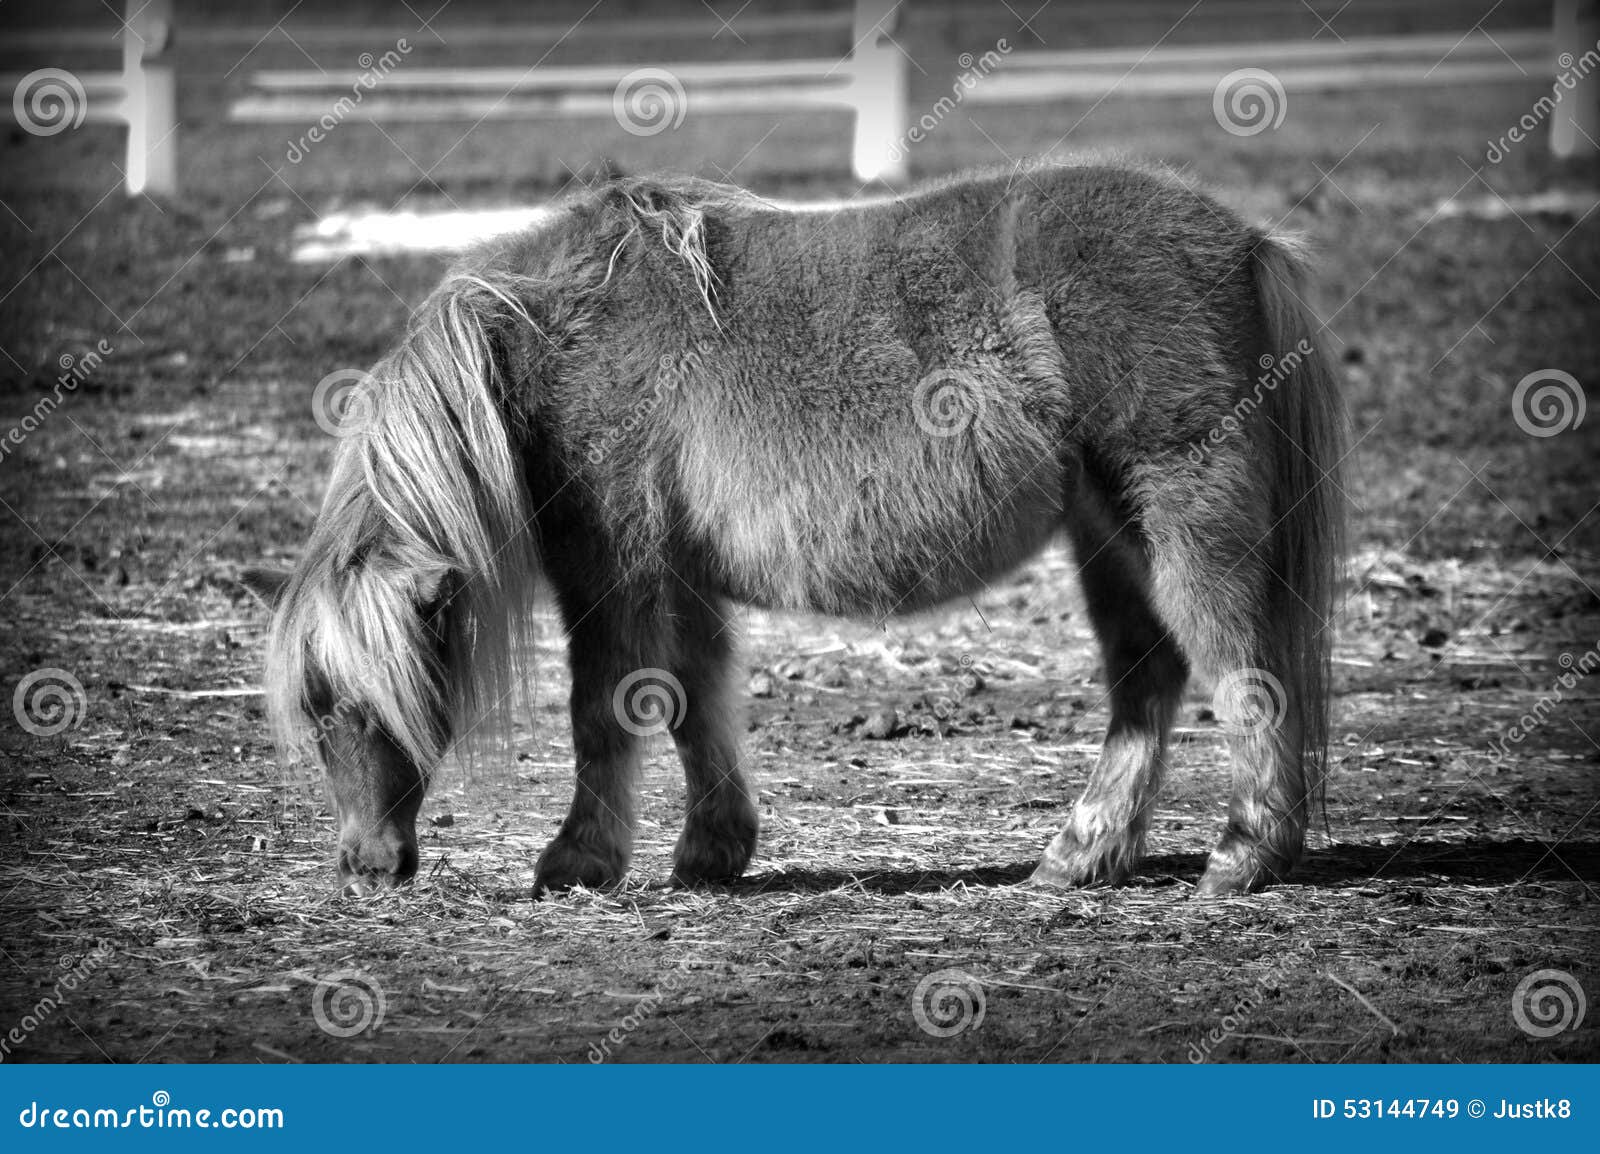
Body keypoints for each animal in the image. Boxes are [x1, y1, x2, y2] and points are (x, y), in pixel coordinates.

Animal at [243, 162, 1345, 899]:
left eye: (349, 702)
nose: (364, 866)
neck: (554, 332)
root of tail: (1244, 242)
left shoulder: (612, 563)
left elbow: (603, 706)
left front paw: (578, 860)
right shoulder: (679, 573)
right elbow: (692, 703)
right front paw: (711, 851)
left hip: (1178, 519)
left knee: (1240, 669)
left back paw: (1241, 856)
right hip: (1110, 534)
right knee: (1146, 680)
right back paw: (1080, 854)